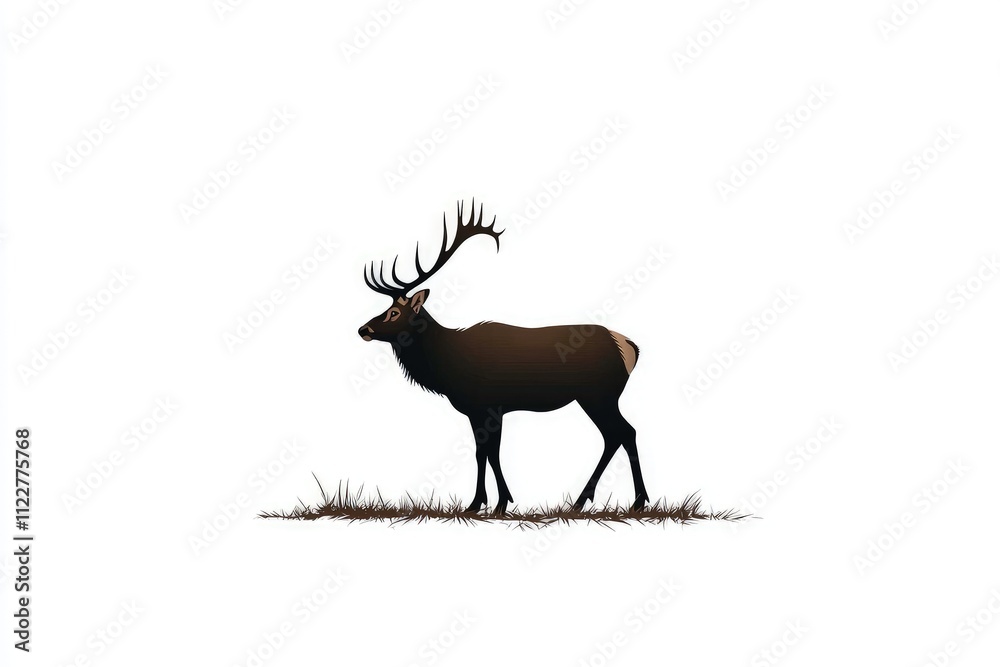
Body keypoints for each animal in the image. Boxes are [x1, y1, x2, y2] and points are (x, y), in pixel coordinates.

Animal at [358, 200, 649, 515]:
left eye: (394, 312)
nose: (363, 329)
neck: (447, 368)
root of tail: (630, 348)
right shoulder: (477, 412)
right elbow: (481, 453)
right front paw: (480, 503)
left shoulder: (490, 406)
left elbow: (491, 453)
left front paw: (497, 503)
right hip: (597, 397)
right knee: (616, 435)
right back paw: (586, 501)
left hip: (599, 394)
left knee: (625, 432)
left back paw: (633, 501)